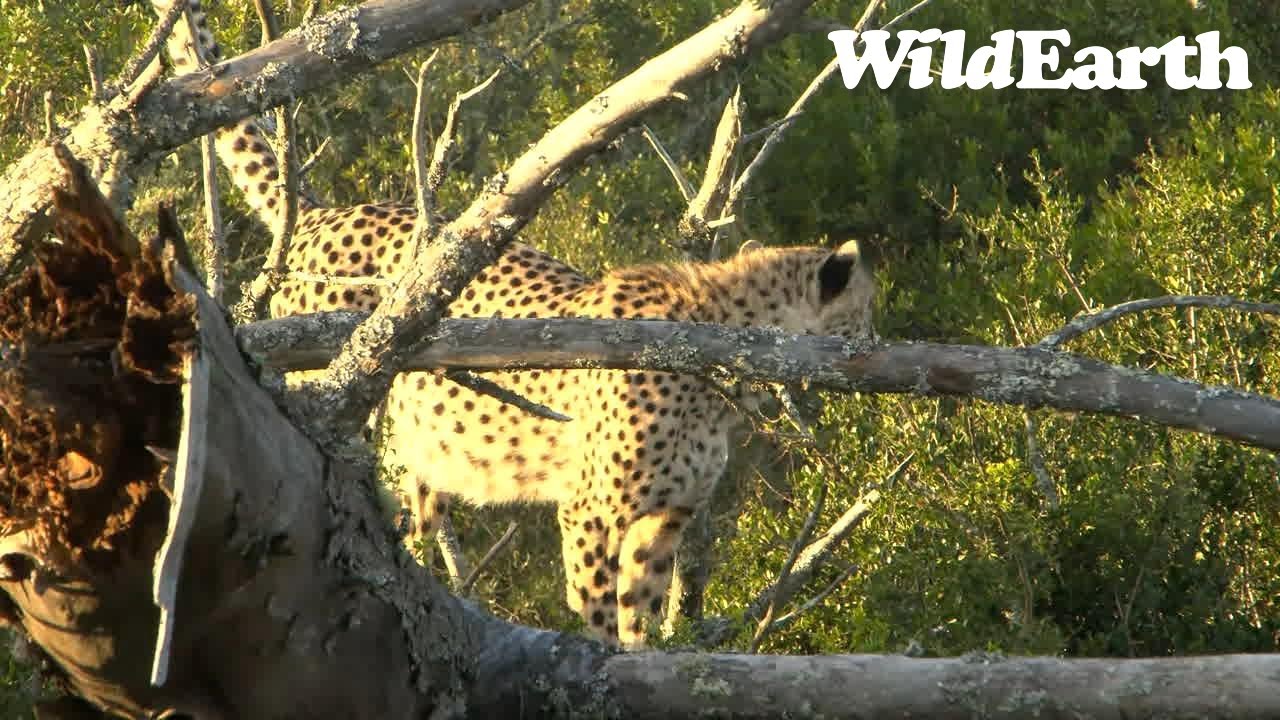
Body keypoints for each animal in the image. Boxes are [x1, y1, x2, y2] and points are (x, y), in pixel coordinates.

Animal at [154, 0, 877, 648]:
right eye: (864, 317)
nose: (878, 345)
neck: (726, 363)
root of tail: (325, 212)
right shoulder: (589, 510)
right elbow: (599, 615)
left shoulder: (663, 520)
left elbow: (642, 617)